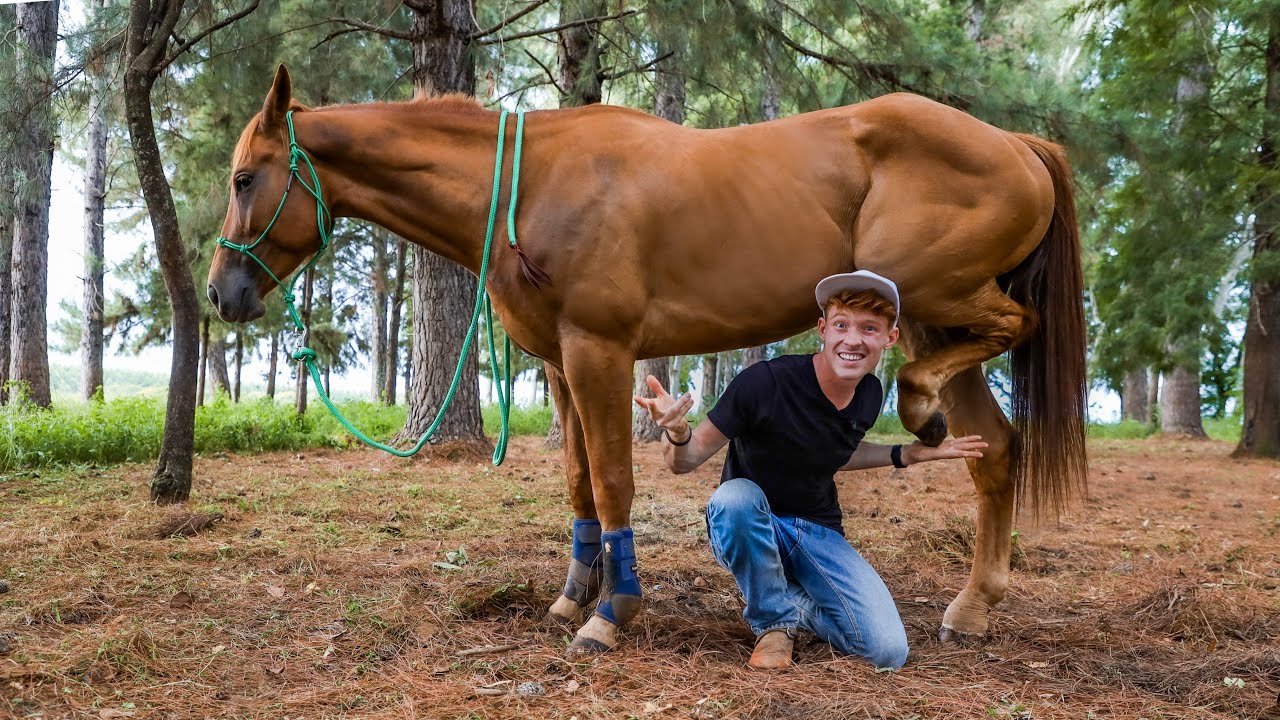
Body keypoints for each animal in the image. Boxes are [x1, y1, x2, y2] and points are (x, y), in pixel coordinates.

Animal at [208, 65, 1087, 654]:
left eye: (245, 177)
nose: (222, 293)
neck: (531, 184)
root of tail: (1014, 144)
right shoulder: (559, 365)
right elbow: (577, 481)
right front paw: (573, 597)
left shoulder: (599, 352)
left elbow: (612, 480)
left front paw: (612, 612)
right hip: (933, 318)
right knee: (994, 450)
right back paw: (971, 601)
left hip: (932, 297)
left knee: (1015, 326)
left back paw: (920, 409)